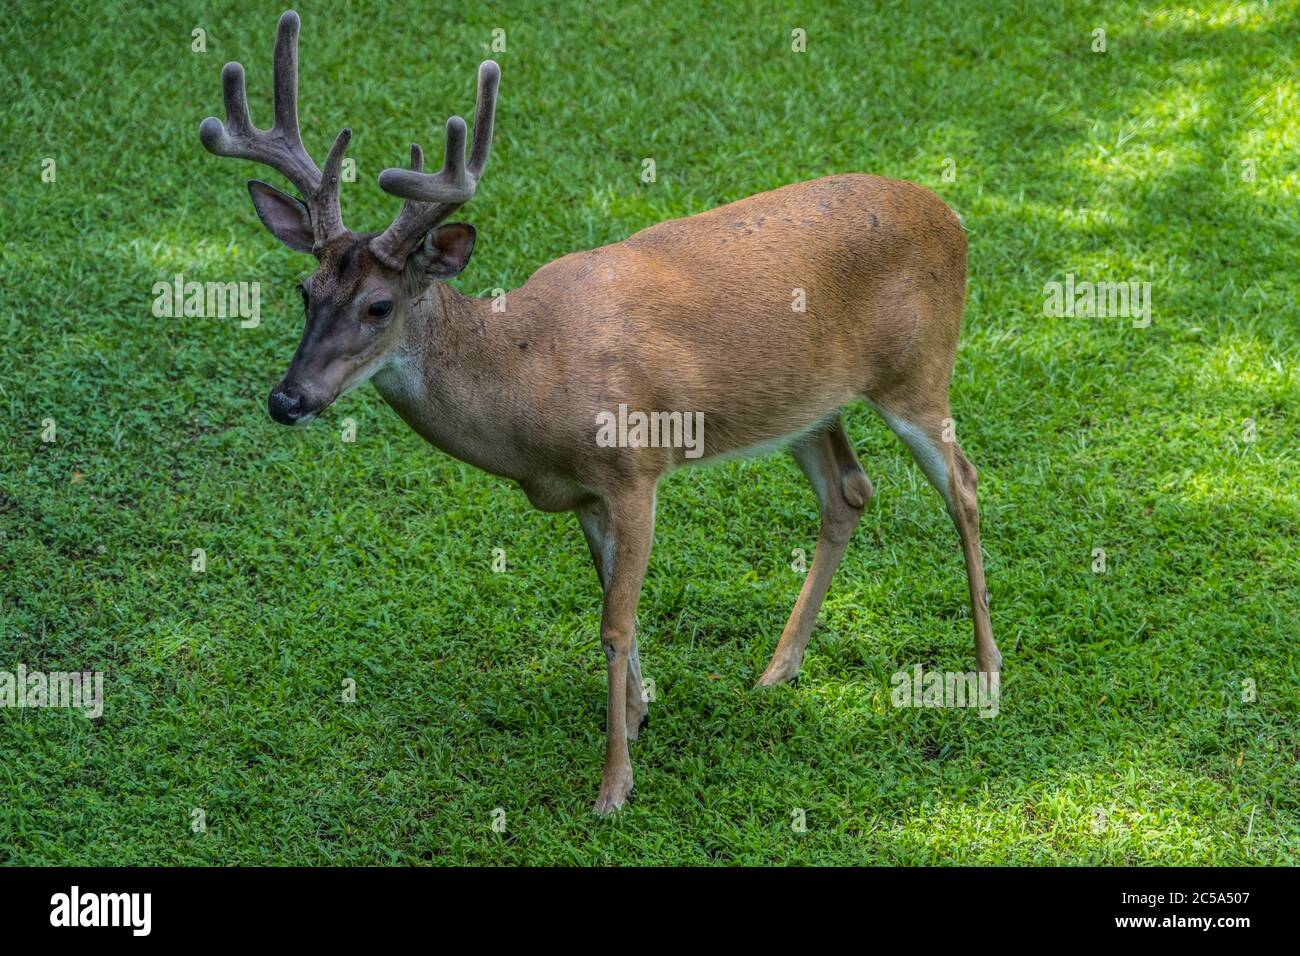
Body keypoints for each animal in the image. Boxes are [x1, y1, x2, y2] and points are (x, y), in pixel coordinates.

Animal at [199, 10, 1002, 814]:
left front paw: (614, 784)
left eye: (377, 305)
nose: (287, 399)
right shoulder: (586, 494)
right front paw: (641, 714)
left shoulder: (634, 467)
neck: (529, 381)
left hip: (920, 371)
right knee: (849, 490)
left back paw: (987, 670)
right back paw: (779, 669)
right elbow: (616, 603)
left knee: (962, 484)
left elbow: (614, 622)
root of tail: (952, 216)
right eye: (304, 291)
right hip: (807, 409)